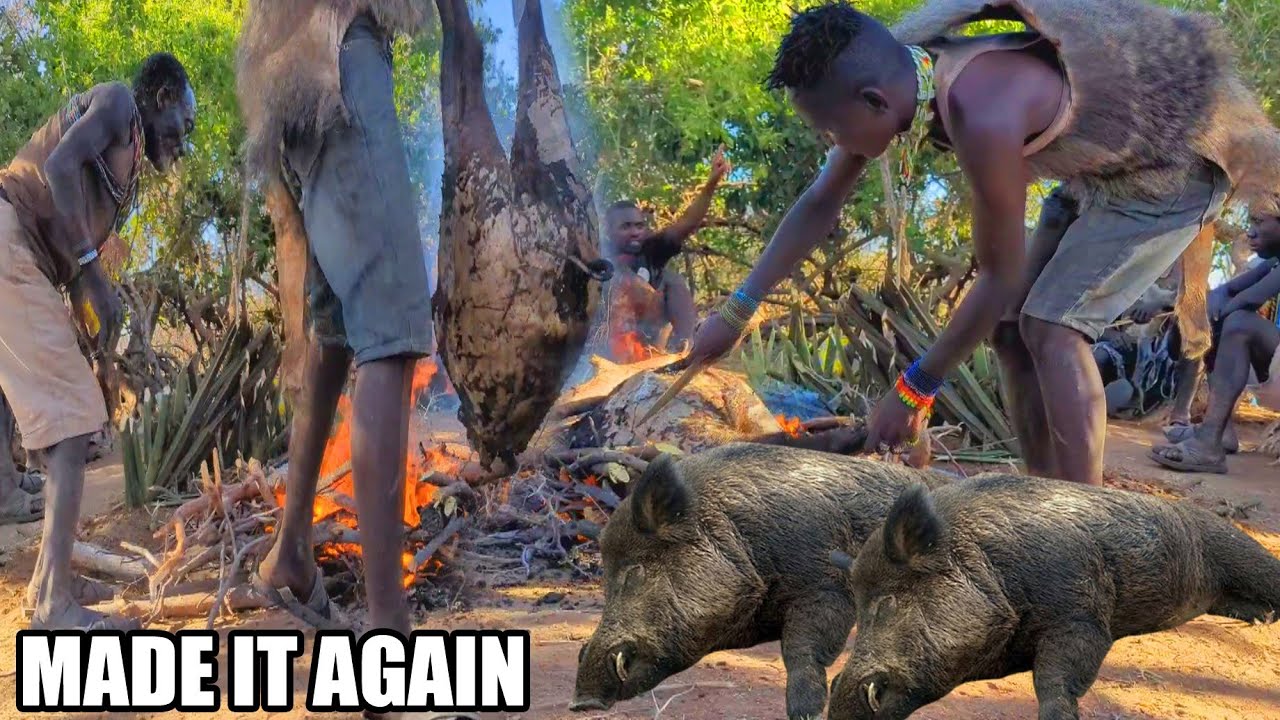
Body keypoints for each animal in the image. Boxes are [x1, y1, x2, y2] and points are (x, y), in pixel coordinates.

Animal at [570, 443, 948, 719]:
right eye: (605, 579)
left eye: (634, 570)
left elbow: (801, 648)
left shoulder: (825, 586)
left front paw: (805, 713)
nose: (581, 702)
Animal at [828, 474, 1280, 720]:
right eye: (858, 610)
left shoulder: (1081, 614)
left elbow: (1055, 676)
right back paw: (1261, 618)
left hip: (1240, 551)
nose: (839, 693)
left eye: (887, 602)